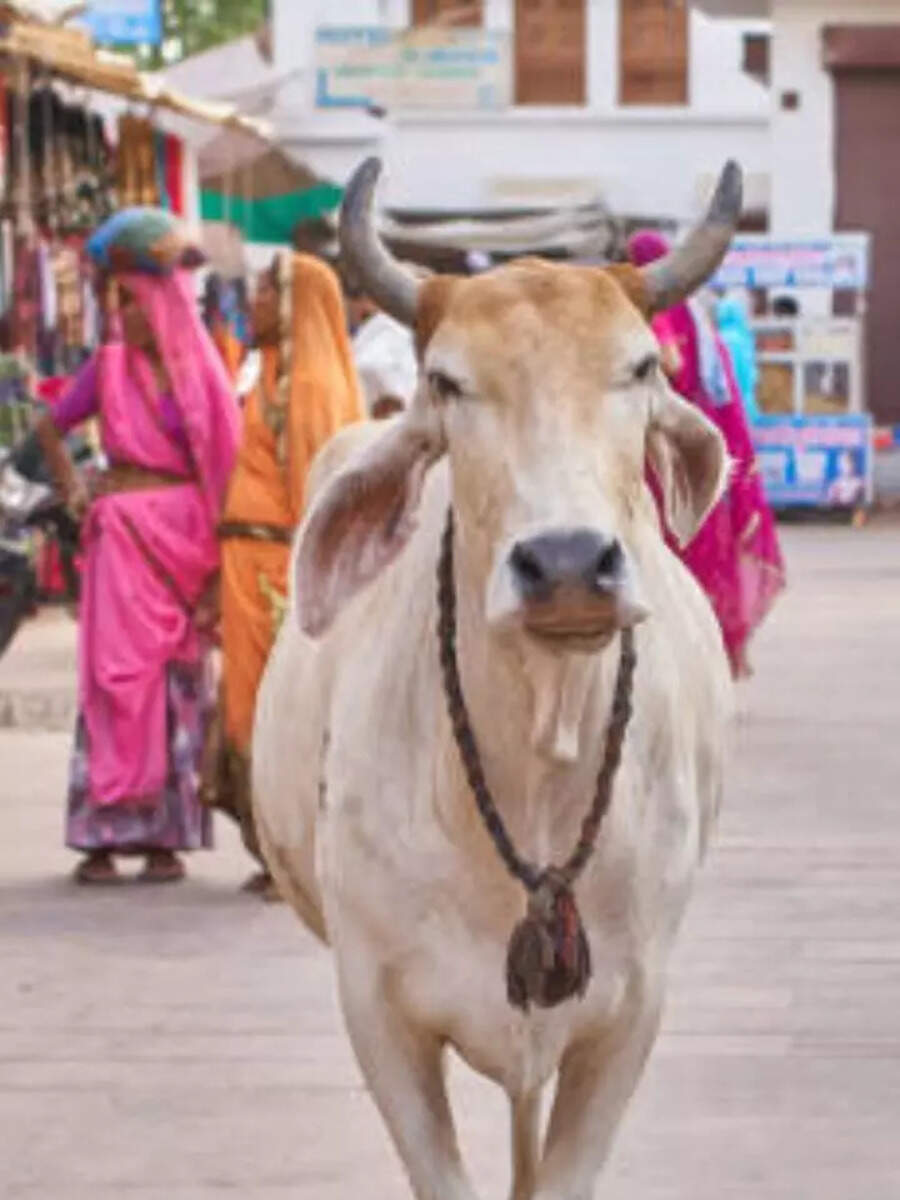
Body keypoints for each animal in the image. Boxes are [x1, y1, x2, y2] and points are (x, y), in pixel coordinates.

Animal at [252, 156, 740, 1200]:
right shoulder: (378, 1013)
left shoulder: (627, 1015)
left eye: (644, 367)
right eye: (447, 381)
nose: (566, 563)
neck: (537, 773)